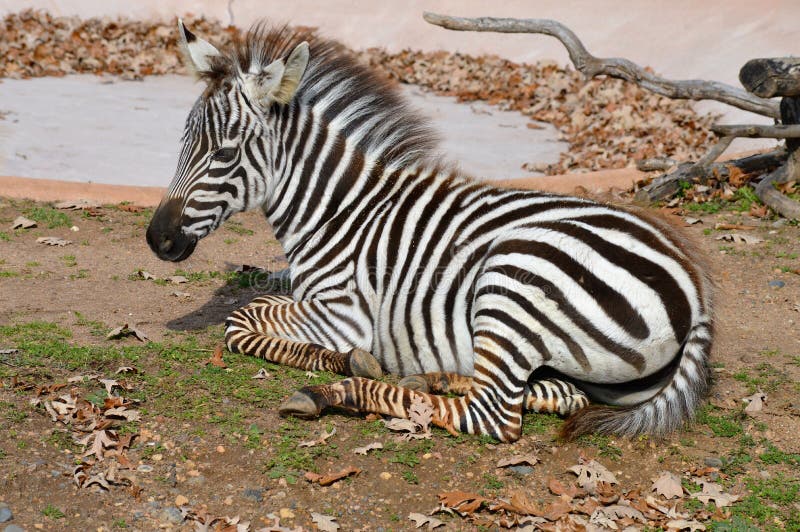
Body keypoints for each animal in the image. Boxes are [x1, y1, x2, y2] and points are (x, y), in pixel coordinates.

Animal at [145, 20, 713, 442]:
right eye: (182, 142)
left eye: (223, 153)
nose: (157, 240)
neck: (339, 210)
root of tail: (694, 287)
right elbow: (252, 302)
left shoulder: (343, 312)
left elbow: (240, 322)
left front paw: (347, 360)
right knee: (556, 392)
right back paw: (431, 376)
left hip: (513, 279)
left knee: (493, 415)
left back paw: (340, 393)